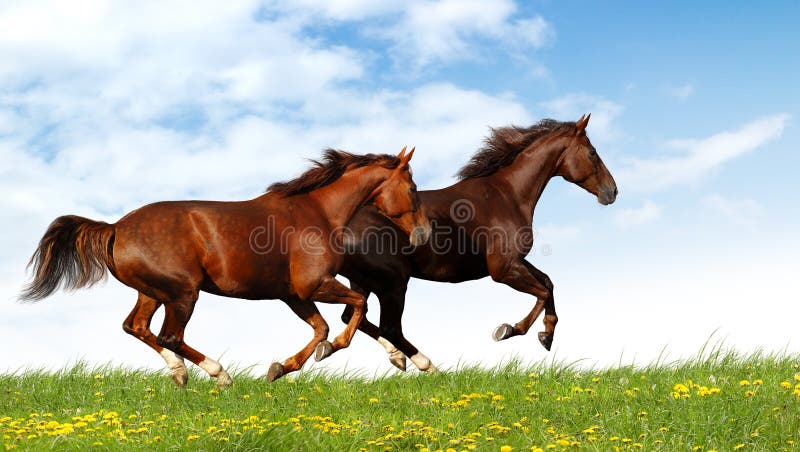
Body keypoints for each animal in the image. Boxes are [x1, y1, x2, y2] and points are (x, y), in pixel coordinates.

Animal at [21, 147, 431, 385]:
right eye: (413, 188)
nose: (424, 233)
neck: (317, 212)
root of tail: (115, 227)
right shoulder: (313, 286)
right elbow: (354, 311)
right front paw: (332, 351)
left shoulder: (294, 295)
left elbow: (321, 327)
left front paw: (282, 367)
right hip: (183, 293)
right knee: (169, 336)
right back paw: (219, 375)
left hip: (152, 292)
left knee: (136, 327)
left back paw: (179, 373)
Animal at [325, 115, 617, 372]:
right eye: (592, 152)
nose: (612, 192)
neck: (507, 195)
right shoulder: (503, 270)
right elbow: (542, 292)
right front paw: (508, 330)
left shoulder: (515, 262)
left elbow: (548, 282)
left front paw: (547, 336)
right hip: (393, 284)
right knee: (387, 327)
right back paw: (425, 365)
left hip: (365, 281)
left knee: (354, 316)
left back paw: (387, 356)